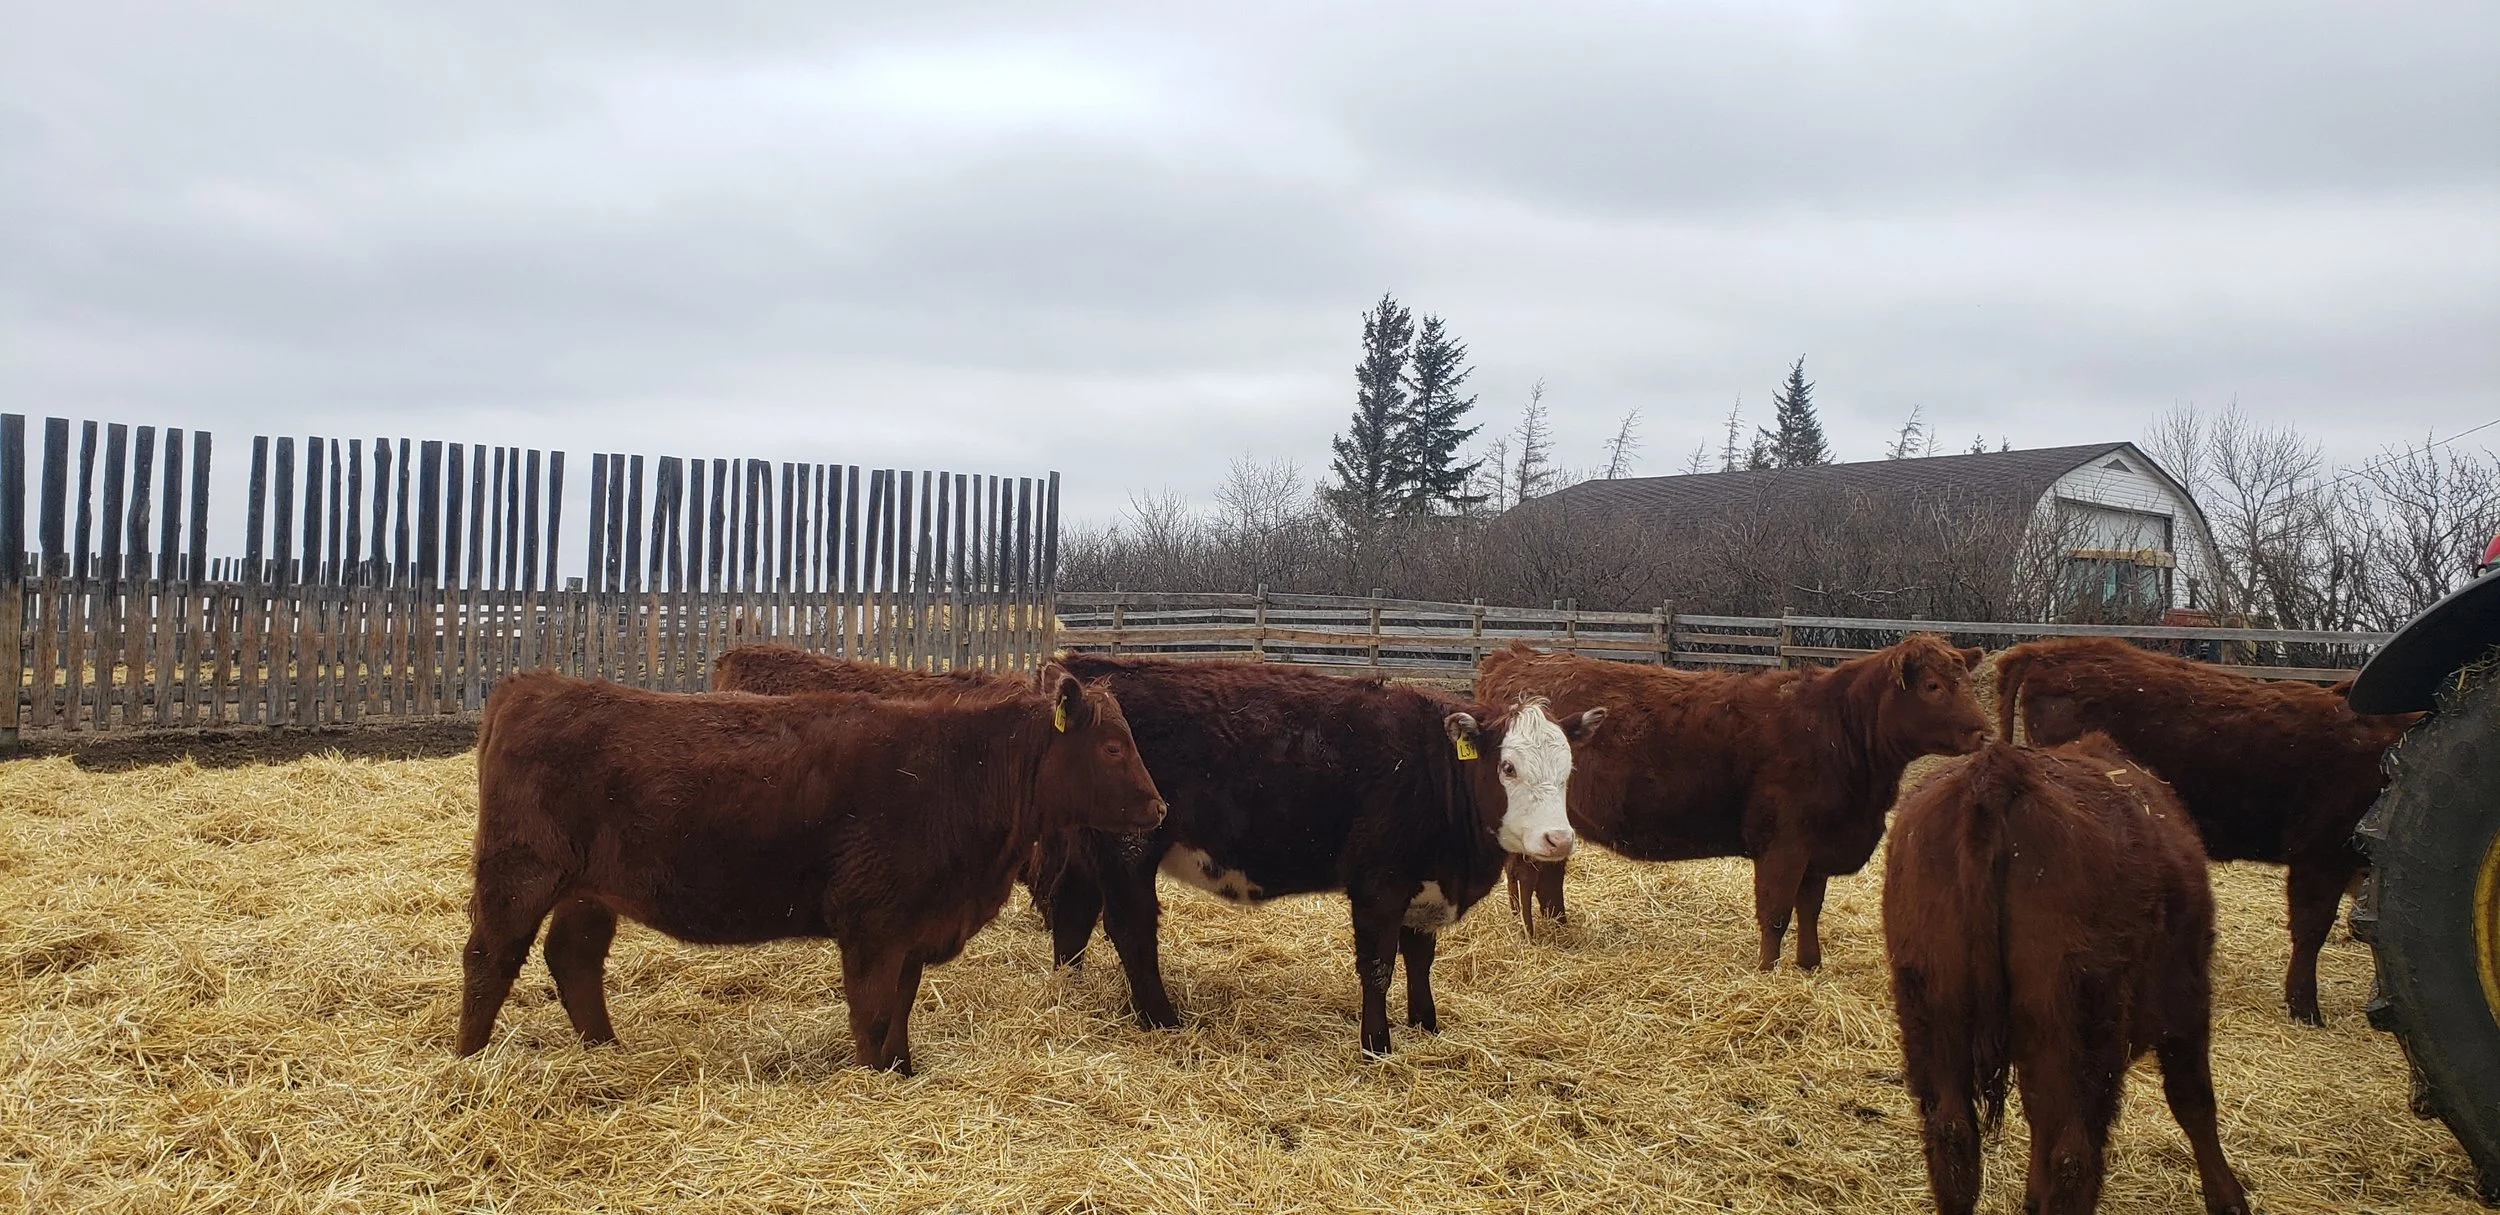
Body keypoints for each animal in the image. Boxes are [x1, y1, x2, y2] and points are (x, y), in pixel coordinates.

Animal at [457, 665, 1164, 1074]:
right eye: (1111, 747)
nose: (1158, 808)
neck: (957, 771)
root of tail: (530, 686)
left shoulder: (911, 928)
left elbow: (900, 1010)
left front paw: (902, 1073)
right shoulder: (873, 924)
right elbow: (873, 1014)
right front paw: (874, 1080)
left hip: (588, 889)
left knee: (572, 956)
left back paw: (606, 1053)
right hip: (518, 874)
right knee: (489, 958)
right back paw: (469, 1063)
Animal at [1037, 653, 1605, 1057]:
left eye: (1569, 768)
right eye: (1508, 768)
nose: (1558, 839)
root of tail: (1092, 669)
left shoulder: (1425, 884)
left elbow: (1420, 957)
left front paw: (1426, 1025)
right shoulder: (1379, 883)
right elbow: (1378, 965)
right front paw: (1377, 1044)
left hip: (1094, 850)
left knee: (1073, 911)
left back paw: (1070, 988)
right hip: (1128, 849)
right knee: (1130, 927)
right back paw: (1161, 1018)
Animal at [1476, 635, 1989, 970]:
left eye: (1964, 680)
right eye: (1933, 686)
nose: (1984, 732)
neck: (1837, 728)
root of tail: (1517, 655)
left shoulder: (1818, 848)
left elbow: (1810, 908)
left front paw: (1810, 965)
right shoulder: (1784, 844)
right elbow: (1776, 912)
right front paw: (1766, 970)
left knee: (1547, 876)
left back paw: (1559, 927)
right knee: (1525, 876)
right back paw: (1531, 937)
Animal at [1884, 736, 2250, 1215]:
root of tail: (1997, 773)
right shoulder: (2187, 1004)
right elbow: (2194, 1101)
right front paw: (2228, 1199)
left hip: (1932, 1003)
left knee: (1954, 1142)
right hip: (2083, 1022)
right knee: (2073, 1156)